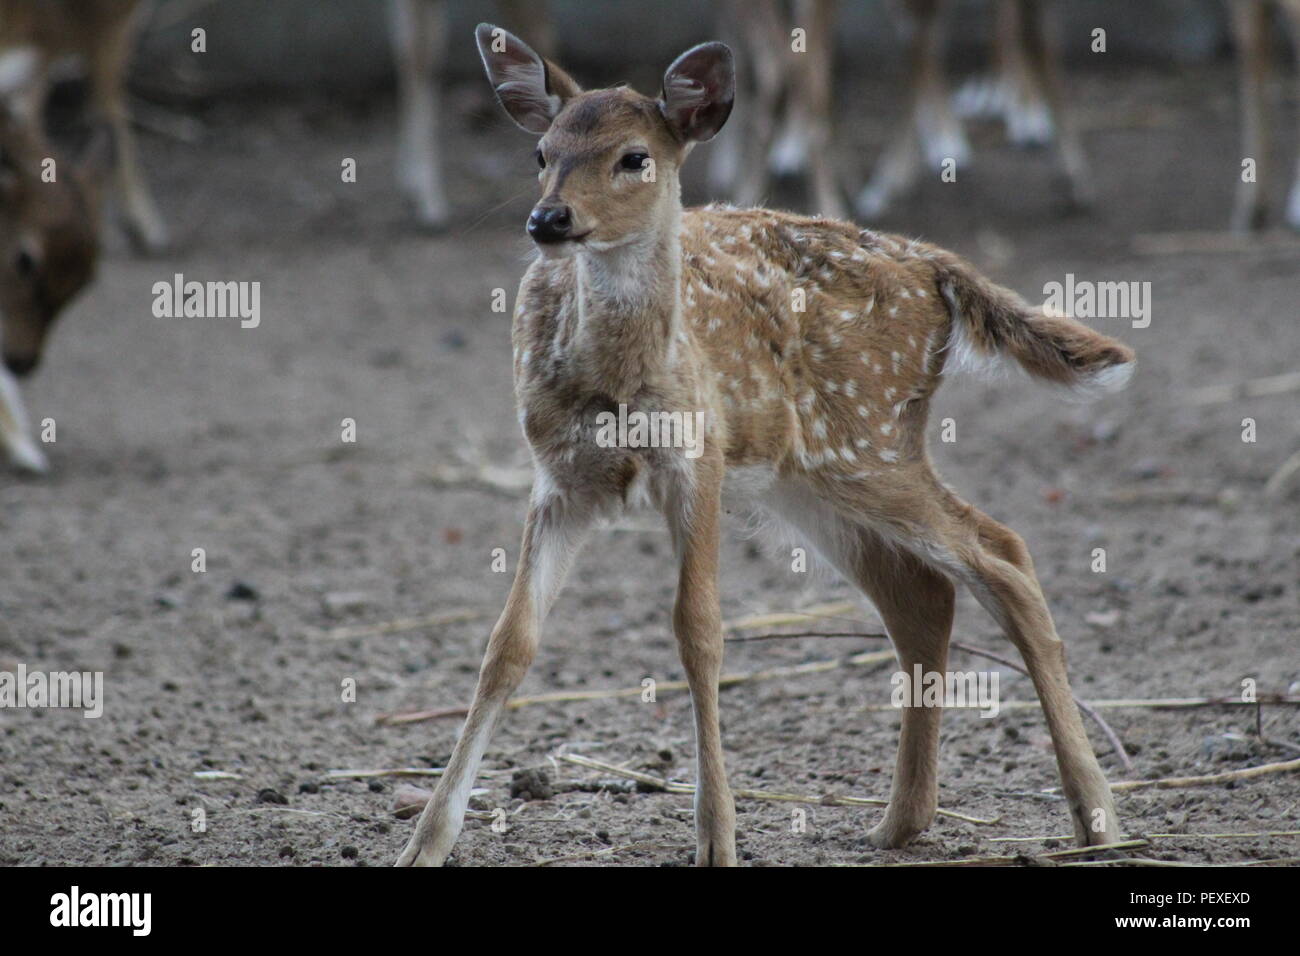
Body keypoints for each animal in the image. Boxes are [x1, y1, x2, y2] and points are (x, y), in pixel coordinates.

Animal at [397, 23, 1134, 867]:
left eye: (634, 156)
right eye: (540, 153)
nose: (548, 220)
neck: (619, 382)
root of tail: (935, 264)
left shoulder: (699, 459)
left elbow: (700, 631)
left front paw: (717, 838)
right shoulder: (561, 478)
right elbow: (507, 643)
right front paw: (425, 843)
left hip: (871, 444)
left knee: (1002, 554)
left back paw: (1095, 815)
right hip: (812, 477)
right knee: (923, 594)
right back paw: (901, 819)